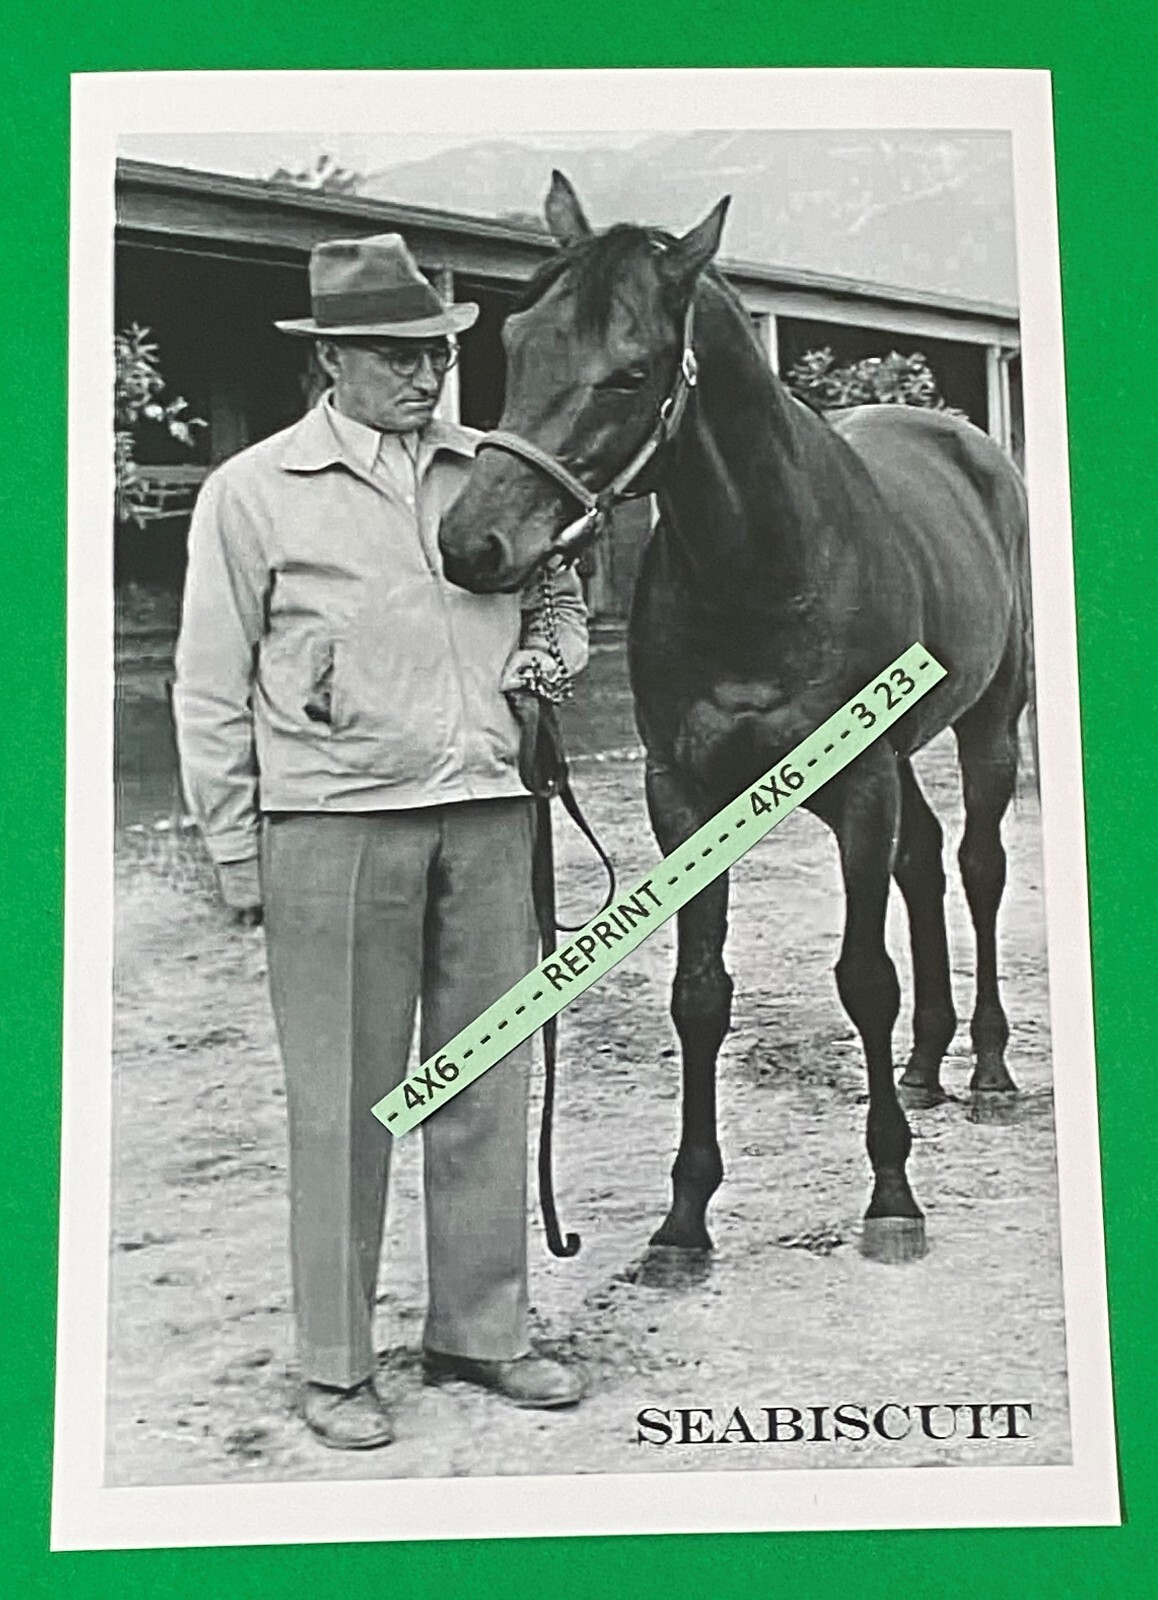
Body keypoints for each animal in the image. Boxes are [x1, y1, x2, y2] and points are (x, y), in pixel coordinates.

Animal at [439, 171, 1033, 1280]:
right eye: (519, 339)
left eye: (631, 372)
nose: (471, 543)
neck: (766, 563)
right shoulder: (682, 794)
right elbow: (699, 993)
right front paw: (684, 1218)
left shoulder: (861, 784)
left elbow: (865, 979)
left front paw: (892, 1195)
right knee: (926, 864)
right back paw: (927, 1064)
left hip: (990, 726)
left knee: (977, 866)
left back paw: (987, 1067)